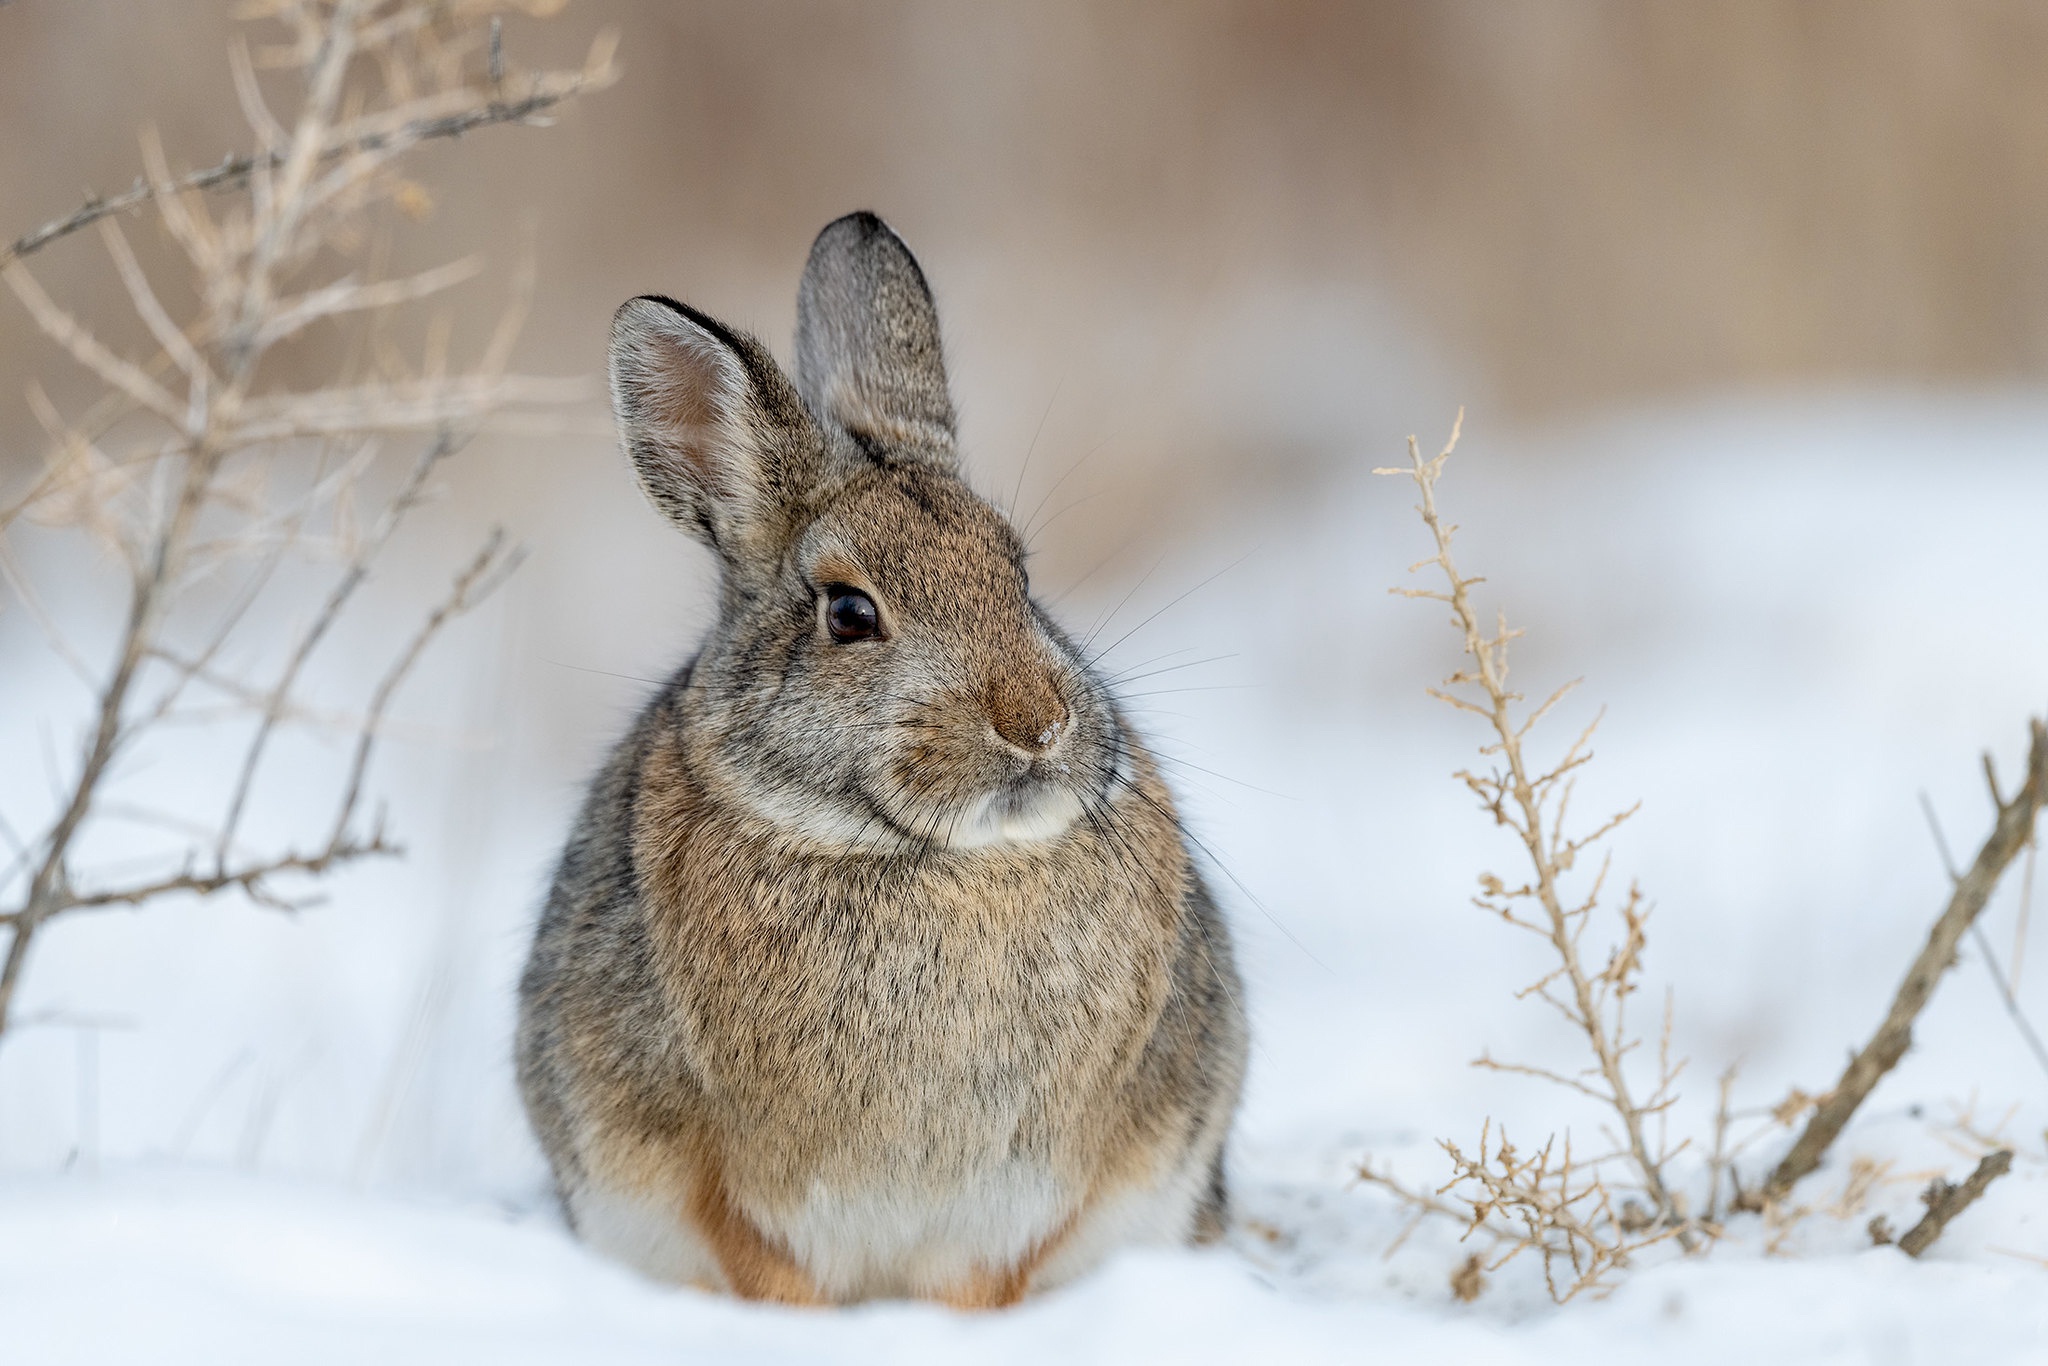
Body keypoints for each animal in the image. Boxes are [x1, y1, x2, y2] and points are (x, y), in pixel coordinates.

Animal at [515, 211, 1247, 1308]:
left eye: (1016, 573)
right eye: (850, 614)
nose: (1037, 725)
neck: (933, 863)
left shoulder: (1015, 1205)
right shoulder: (721, 1184)